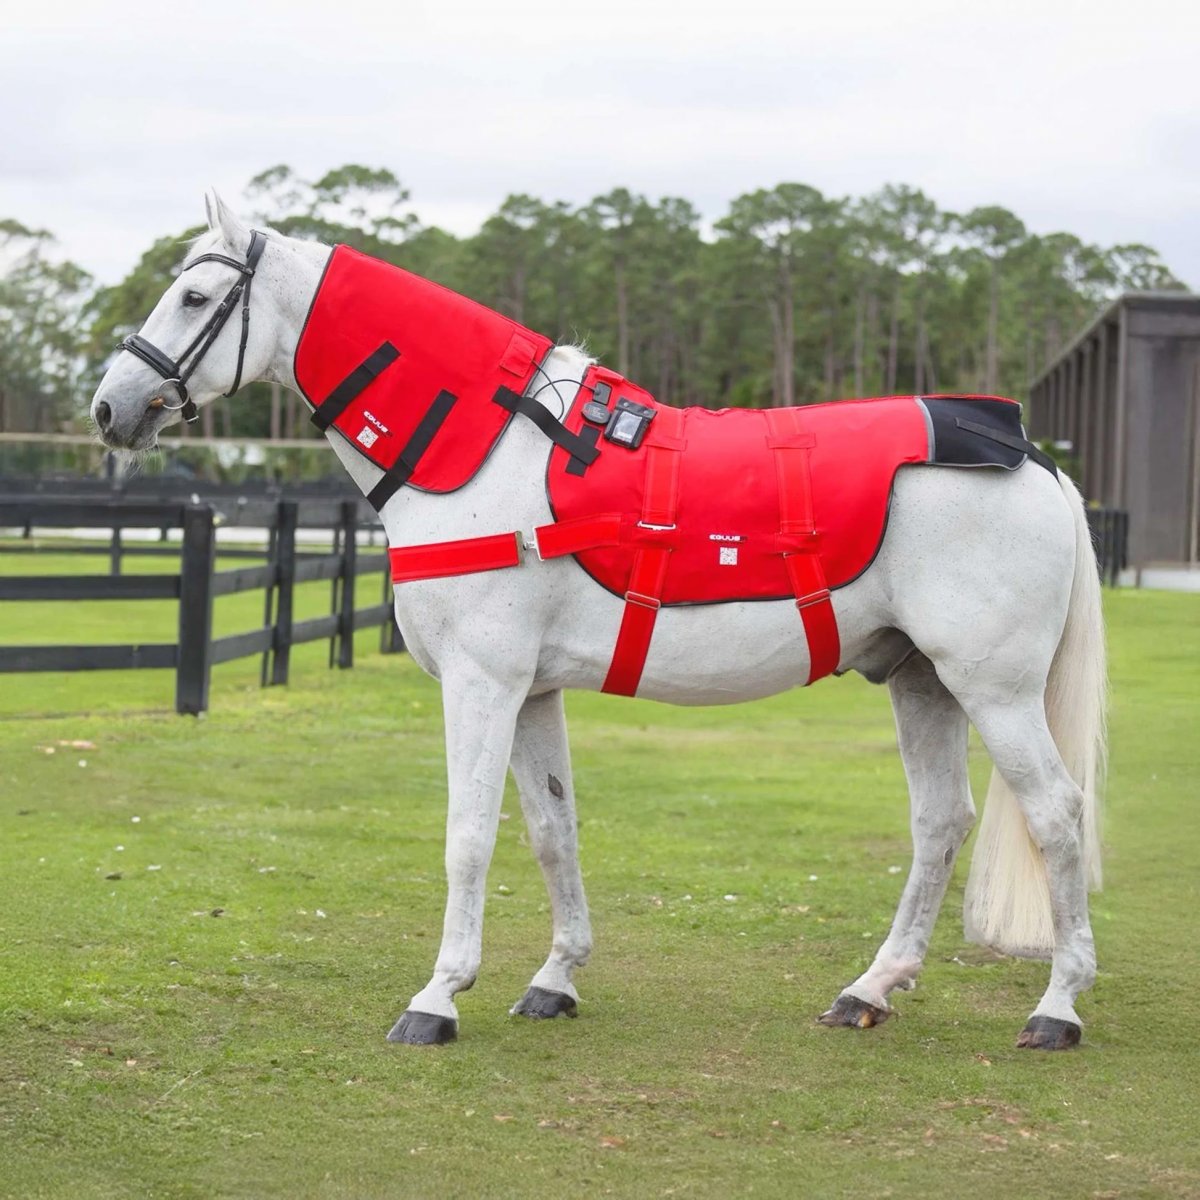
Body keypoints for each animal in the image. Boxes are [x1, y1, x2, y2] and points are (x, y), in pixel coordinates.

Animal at [90, 192, 1106, 1050]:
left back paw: (1057, 1007)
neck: (482, 453)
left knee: (1056, 814)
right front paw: (555, 979)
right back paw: (870, 989)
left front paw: (437, 997)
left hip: (993, 689)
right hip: (920, 678)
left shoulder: (483, 683)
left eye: (194, 295)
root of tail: (1029, 456)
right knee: (941, 821)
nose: (110, 408)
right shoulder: (532, 691)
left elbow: (469, 835)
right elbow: (552, 830)